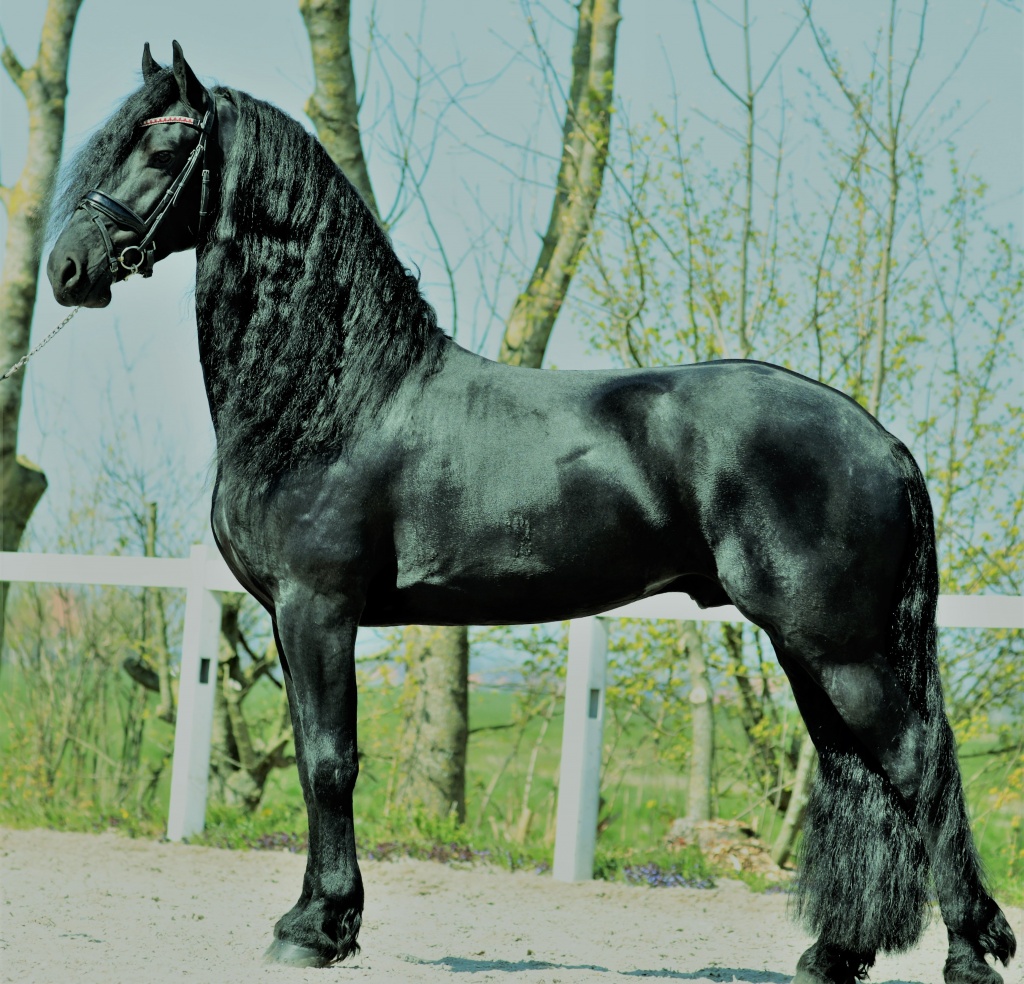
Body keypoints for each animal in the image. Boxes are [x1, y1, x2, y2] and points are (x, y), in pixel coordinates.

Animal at [44, 42, 1015, 984]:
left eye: (161, 150)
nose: (66, 269)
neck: (332, 399)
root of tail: (880, 438)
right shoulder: (291, 616)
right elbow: (320, 754)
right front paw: (323, 918)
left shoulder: (317, 608)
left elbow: (327, 762)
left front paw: (315, 928)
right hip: (811, 648)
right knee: (863, 772)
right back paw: (835, 953)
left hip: (837, 645)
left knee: (919, 762)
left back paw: (971, 954)